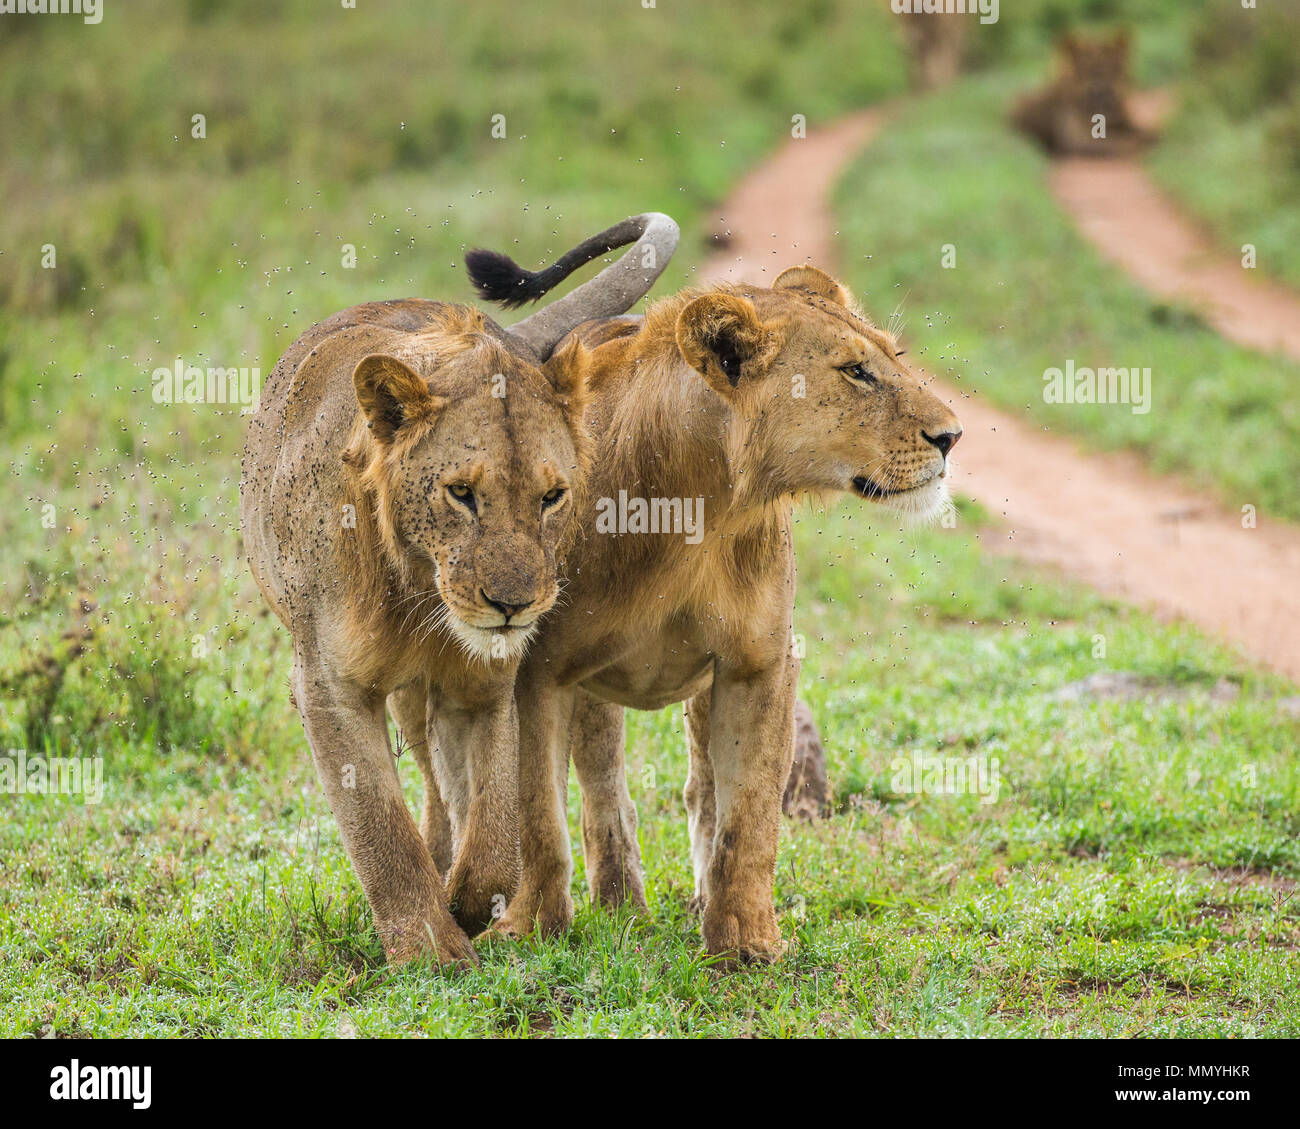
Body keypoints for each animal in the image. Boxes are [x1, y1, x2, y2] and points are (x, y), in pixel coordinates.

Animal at [238, 214, 678, 965]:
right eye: (461, 494)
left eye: (552, 496)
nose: (512, 604)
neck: (418, 590)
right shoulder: (327, 683)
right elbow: (380, 828)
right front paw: (428, 948)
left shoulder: (489, 678)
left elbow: (497, 822)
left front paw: (472, 907)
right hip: (410, 695)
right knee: (435, 787)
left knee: (581, 770)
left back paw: (618, 905)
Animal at [463, 257, 962, 964]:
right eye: (855, 372)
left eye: (894, 358)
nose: (952, 437)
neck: (701, 505)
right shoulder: (537, 668)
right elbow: (538, 814)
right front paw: (531, 930)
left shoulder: (760, 665)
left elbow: (748, 818)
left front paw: (747, 943)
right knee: (602, 784)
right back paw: (621, 906)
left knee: (700, 789)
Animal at [1012, 29, 1150, 156]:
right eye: (1087, 70)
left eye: (1112, 69)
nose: (1102, 91)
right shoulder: (1077, 138)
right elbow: (1122, 143)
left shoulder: (1125, 123)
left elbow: (1140, 132)